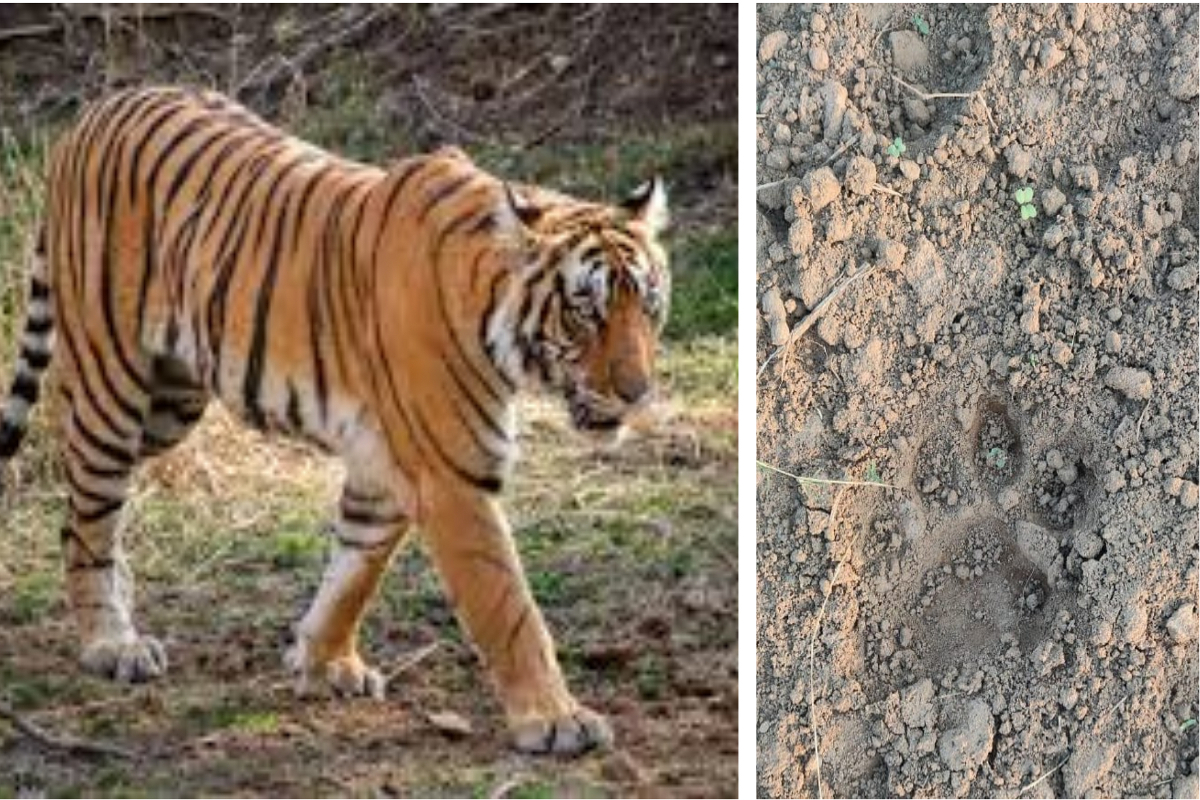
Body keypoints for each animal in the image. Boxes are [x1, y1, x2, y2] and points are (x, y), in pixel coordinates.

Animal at [0, 85, 670, 755]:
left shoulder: (387, 462)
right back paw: (111, 643)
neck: (491, 313)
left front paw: (321, 661)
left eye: (649, 305)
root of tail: (93, 113)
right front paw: (556, 719)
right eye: (585, 311)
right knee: (89, 508)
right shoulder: (451, 475)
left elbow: (356, 566)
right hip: (113, 381)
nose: (636, 392)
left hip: (169, 404)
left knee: (88, 508)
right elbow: (509, 607)